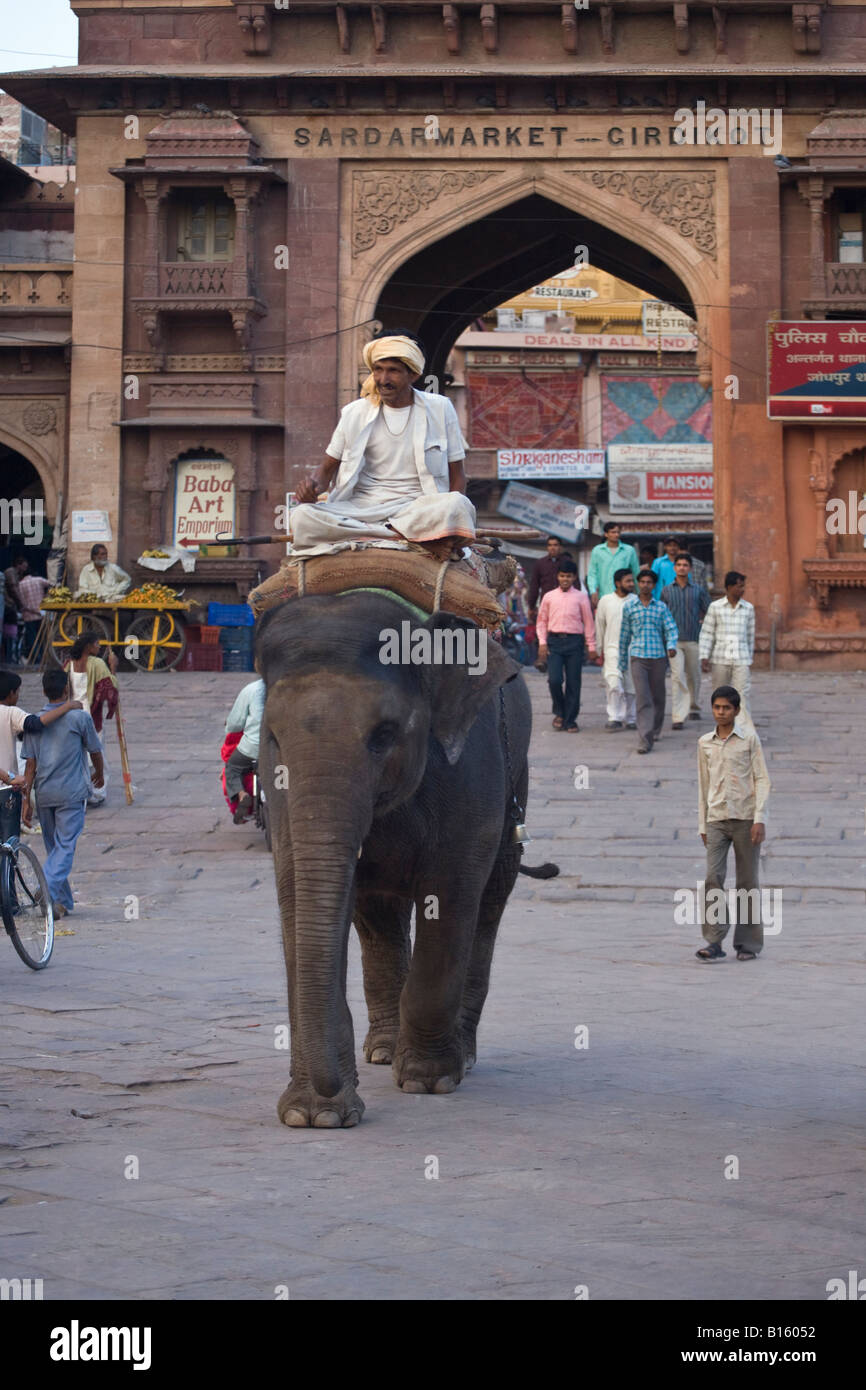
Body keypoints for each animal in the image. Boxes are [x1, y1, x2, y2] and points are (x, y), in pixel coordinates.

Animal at [256, 589, 545, 1129]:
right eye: (273, 738)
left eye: (384, 734)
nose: (331, 1093)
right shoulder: (277, 790)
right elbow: (296, 891)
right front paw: (314, 1116)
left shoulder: (471, 771)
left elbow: (451, 891)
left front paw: (427, 1082)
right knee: (379, 915)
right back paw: (383, 1051)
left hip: (518, 779)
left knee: (491, 900)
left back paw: (460, 1056)